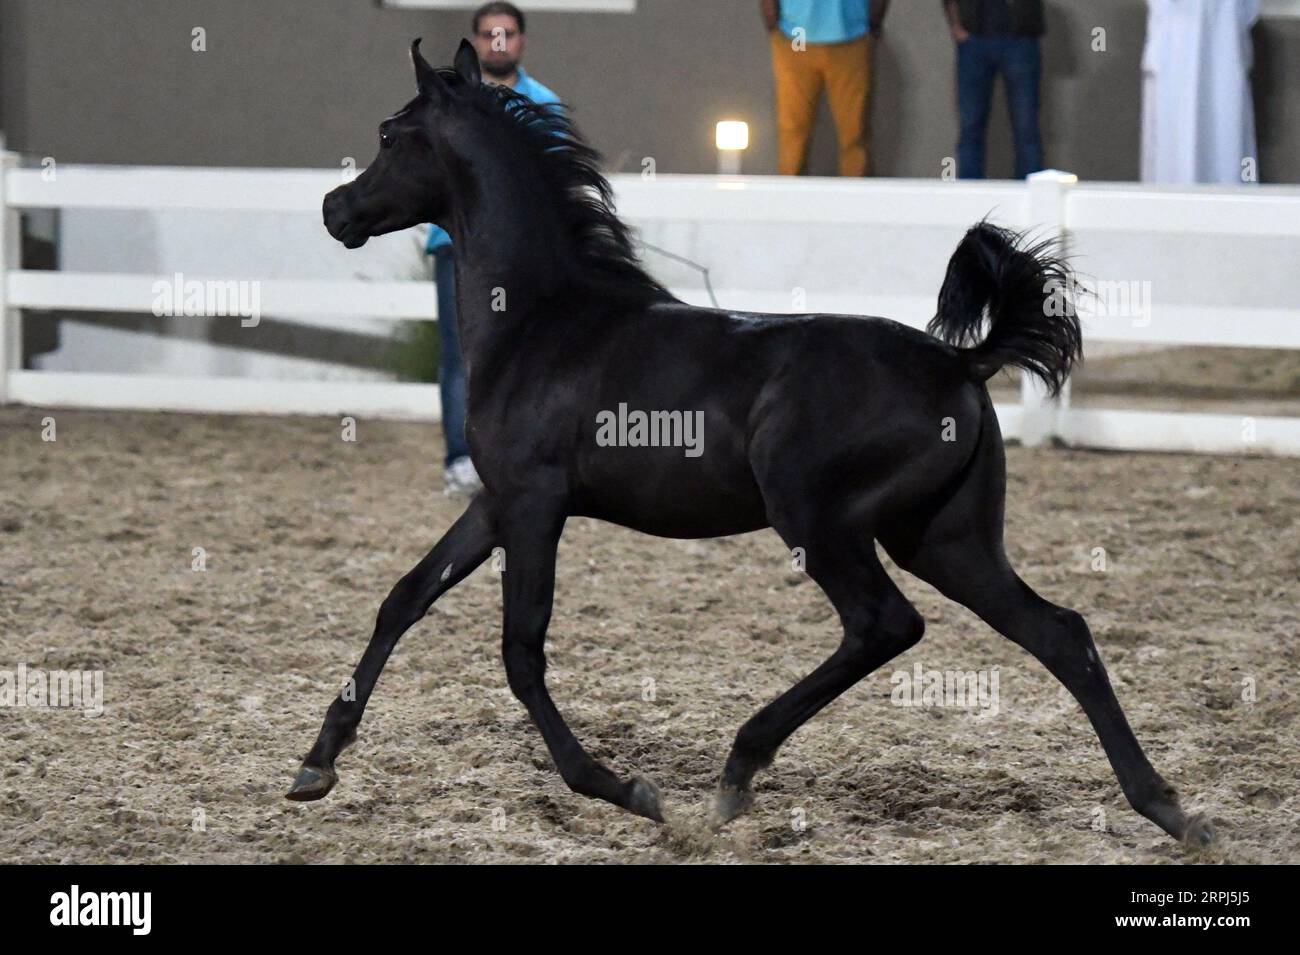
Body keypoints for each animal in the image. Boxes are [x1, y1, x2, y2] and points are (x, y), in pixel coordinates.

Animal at [288, 37, 1212, 847]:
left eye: (388, 134)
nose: (334, 210)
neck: (544, 319)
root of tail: (960, 359)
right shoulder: (495, 499)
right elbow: (405, 596)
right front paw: (315, 765)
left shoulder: (535, 504)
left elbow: (521, 651)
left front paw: (624, 788)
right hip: (944, 536)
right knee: (1060, 632)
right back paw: (1170, 807)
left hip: (818, 515)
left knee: (885, 623)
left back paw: (738, 767)